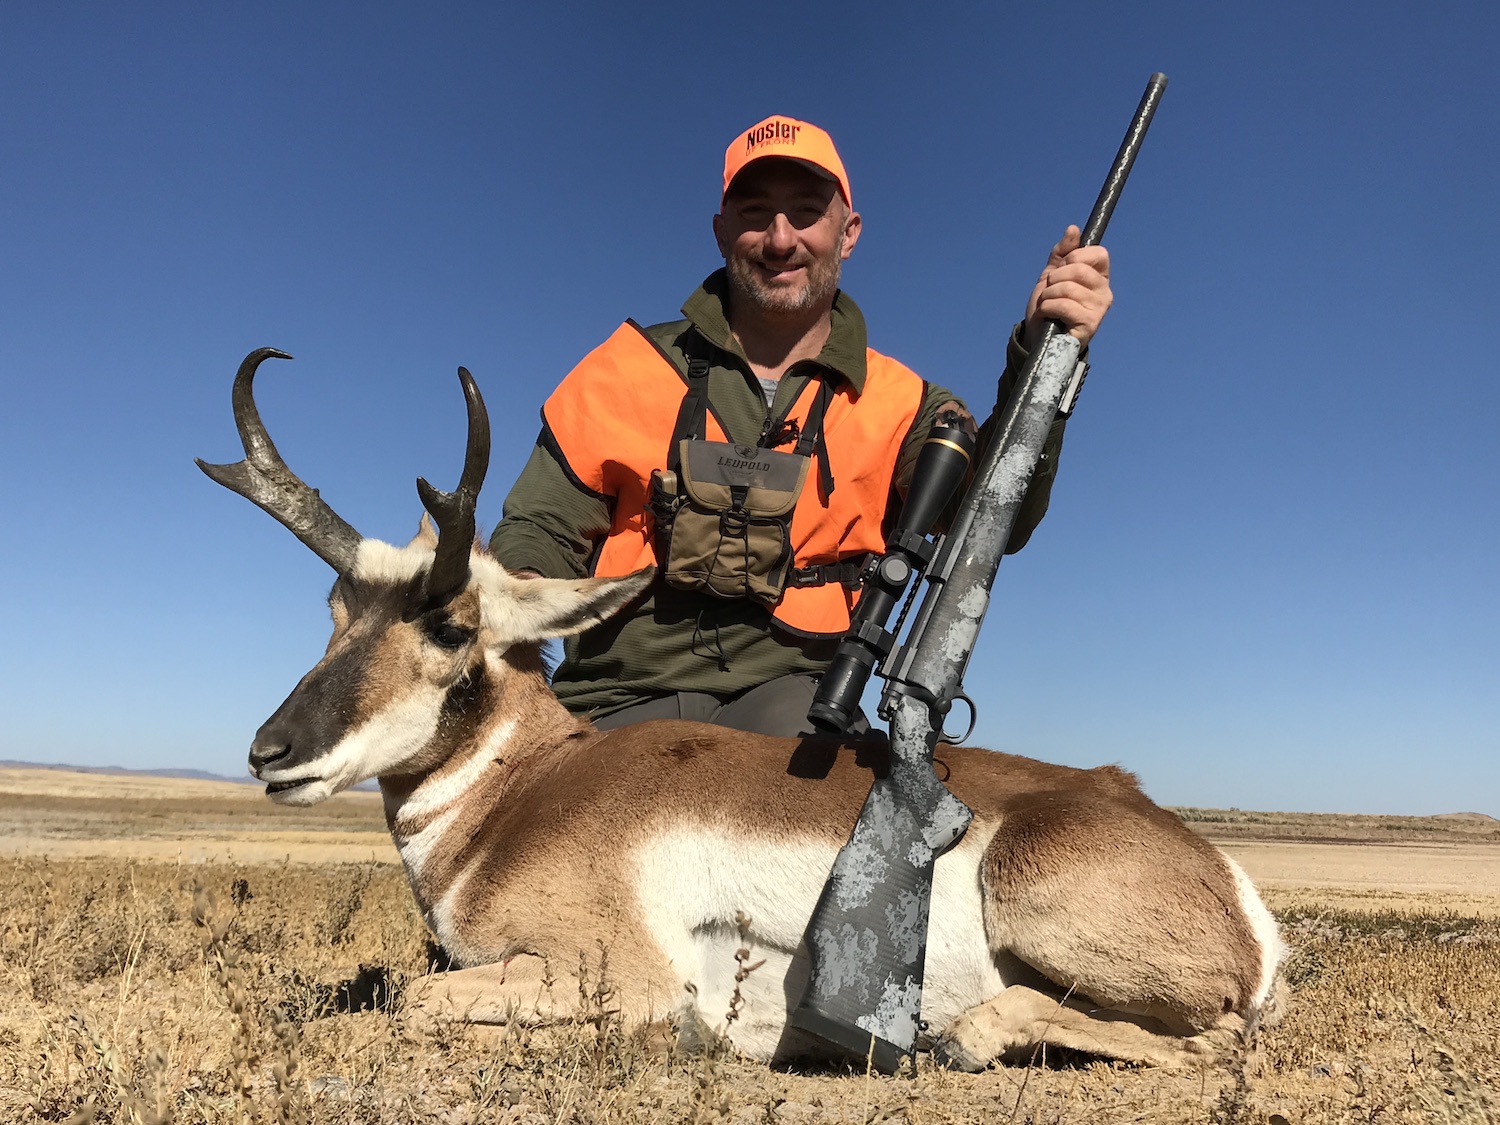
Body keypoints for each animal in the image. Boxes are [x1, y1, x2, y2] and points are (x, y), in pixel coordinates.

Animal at [199, 348, 1285, 1070]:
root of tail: (1231, 889)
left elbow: (417, 996)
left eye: (452, 625)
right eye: (336, 610)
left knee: (1205, 1039)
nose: (271, 750)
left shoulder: (614, 973)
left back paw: (967, 1034)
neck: (525, 791)